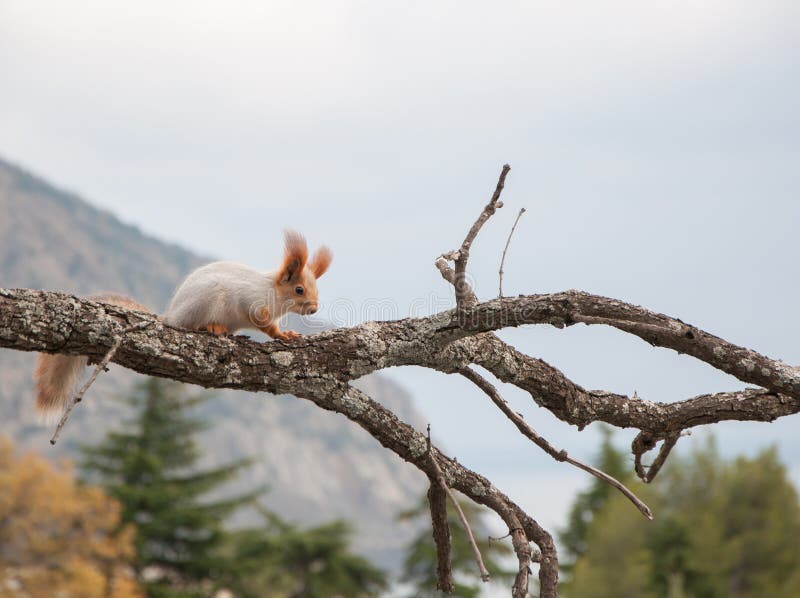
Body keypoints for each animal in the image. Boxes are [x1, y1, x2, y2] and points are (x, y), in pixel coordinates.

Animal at [34, 230, 332, 415]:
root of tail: (172, 314)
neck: (275, 295)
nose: (314, 309)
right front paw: (283, 334)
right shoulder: (254, 304)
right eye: (299, 290)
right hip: (205, 301)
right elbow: (265, 324)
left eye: (316, 289)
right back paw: (211, 327)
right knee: (189, 326)